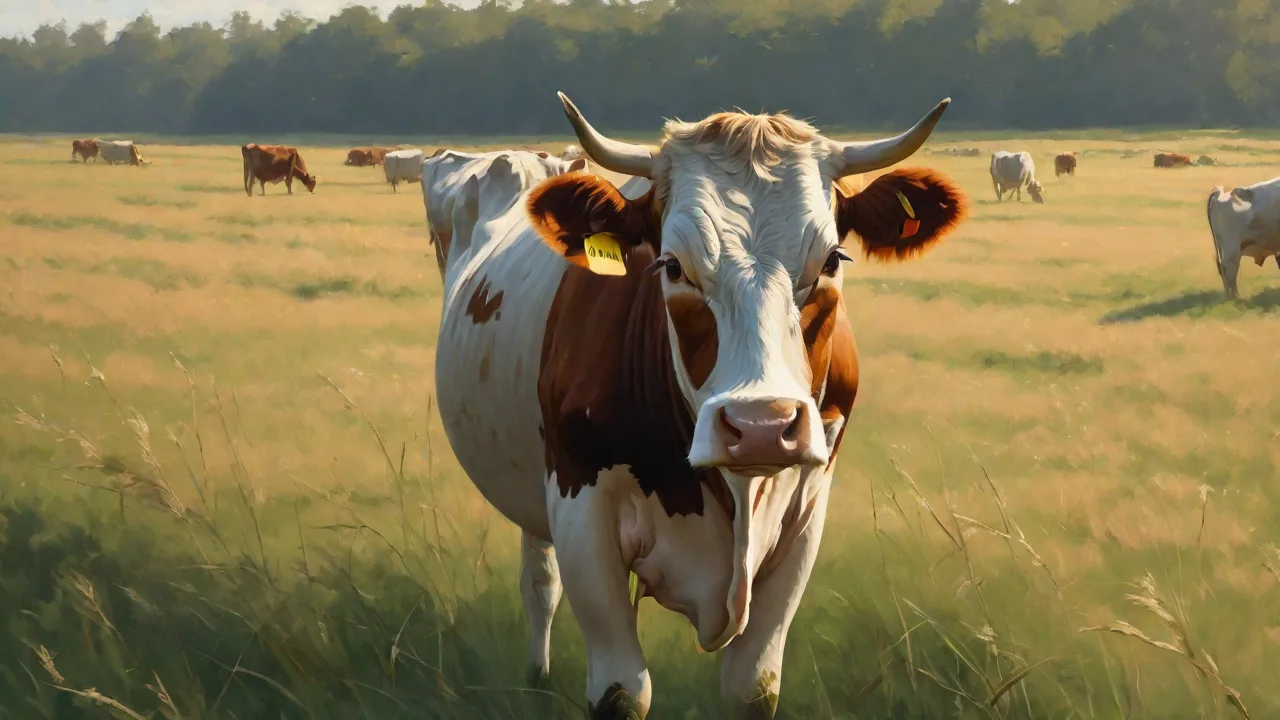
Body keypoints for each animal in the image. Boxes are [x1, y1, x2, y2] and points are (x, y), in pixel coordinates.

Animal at [428, 91, 967, 718]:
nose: (761, 426)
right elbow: (621, 689)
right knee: (540, 581)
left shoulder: (807, 511)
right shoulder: (580, 506)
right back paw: (536, 674)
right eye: (672, 265)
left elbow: (751, 687)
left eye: (832, 260)